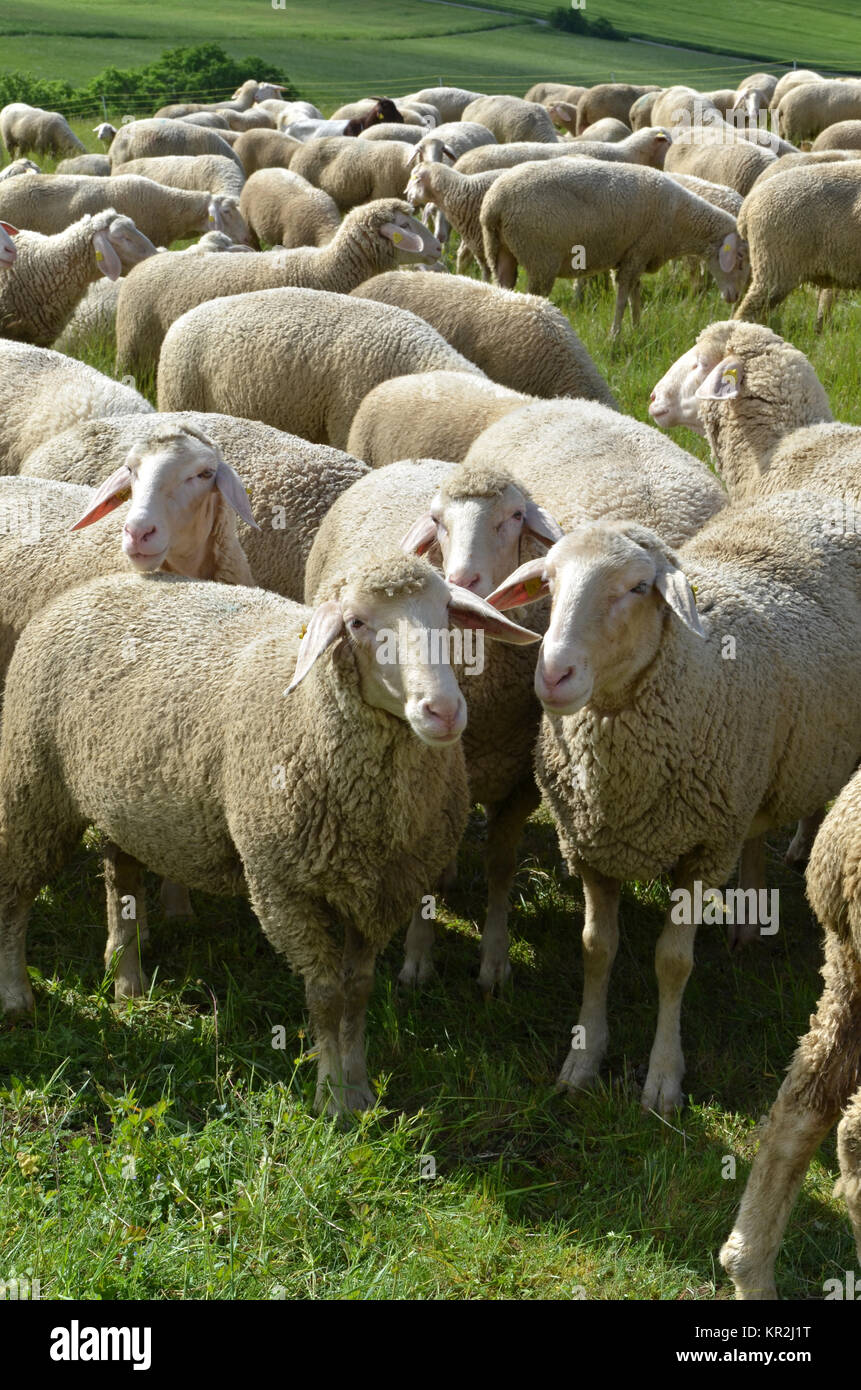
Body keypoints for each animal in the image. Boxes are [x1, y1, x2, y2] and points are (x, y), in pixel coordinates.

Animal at [0, 554, 536, 1115]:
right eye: (357, 623)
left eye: (447, 612)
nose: (444, 711)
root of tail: (87, 589)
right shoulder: (283, 887)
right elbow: (326, 995)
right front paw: (331, 1098)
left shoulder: (379, 892)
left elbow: (359, 990)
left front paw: (359, 1087)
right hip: (34, 787)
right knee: (15, 893)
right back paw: (17, 995)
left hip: (120, 801)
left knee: (120, 877)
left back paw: (127, 978)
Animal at [479, 159, 748, 329]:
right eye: (740, 257)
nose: (735, 296)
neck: (678, 220)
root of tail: (495, 203)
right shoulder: (638, 252)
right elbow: (622, 298)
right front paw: (616, 335)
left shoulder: (633, 256)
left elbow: (634, 296)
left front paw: (638, 329)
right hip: (540, 258)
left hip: (499, 252)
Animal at [486, 493, 861, 1114]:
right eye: (549, 581)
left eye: (639, 587)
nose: (554, 675)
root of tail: (828, 500)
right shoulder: (592, 846)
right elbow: (596, 948)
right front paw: (583, 1060)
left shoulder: (702, 849)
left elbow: (672, 962)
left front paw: (663, 1079)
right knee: (756, 828)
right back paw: (748, 919)